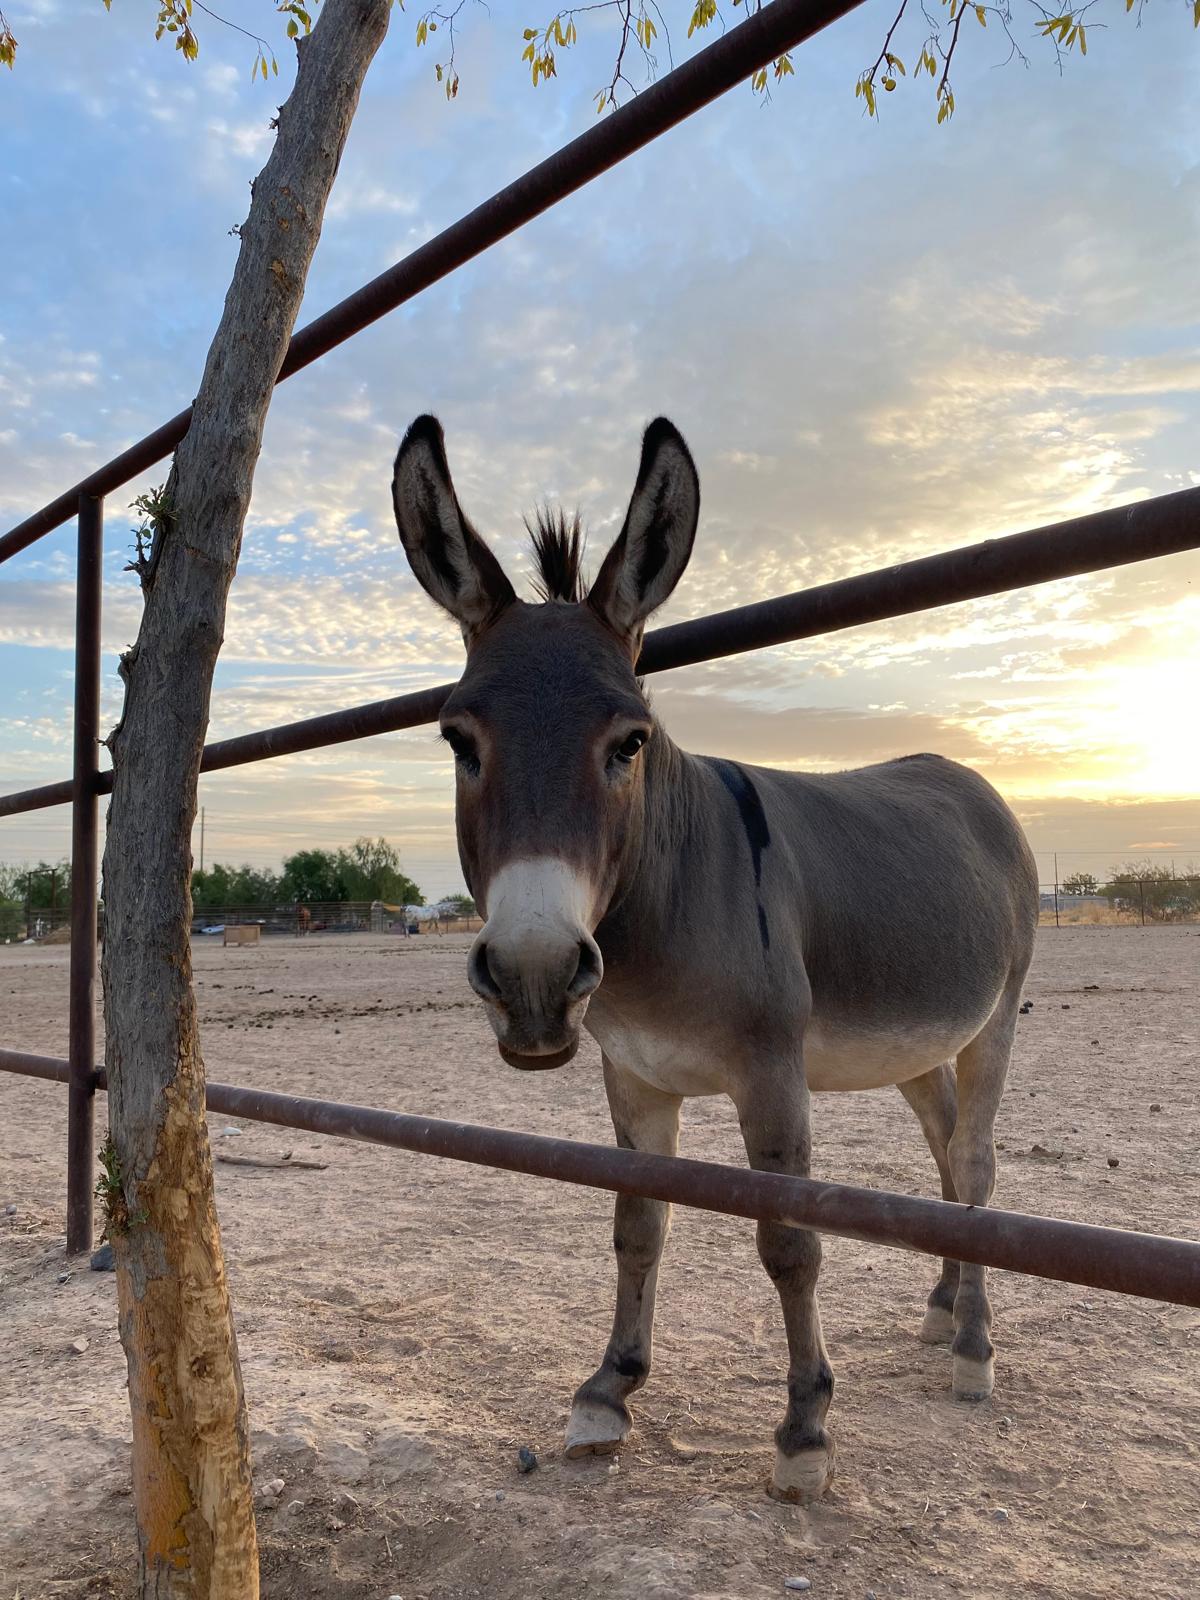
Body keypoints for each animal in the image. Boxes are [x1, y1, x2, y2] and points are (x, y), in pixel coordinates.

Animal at [391, 414, 1038, 1502]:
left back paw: (974, 1349)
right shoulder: (634, 1074)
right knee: (946, 1150)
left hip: (992, 1021)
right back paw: (945, 1307)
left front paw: (806, 1429)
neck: (666, 904)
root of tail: (965, 777)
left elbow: (788, 1240)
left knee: (980, 1165)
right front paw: (609, 1389)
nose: (533, 977)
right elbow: (637, 1222)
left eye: (629, 741)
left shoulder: (770, 1073)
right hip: (914, 1048)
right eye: (456, 740)